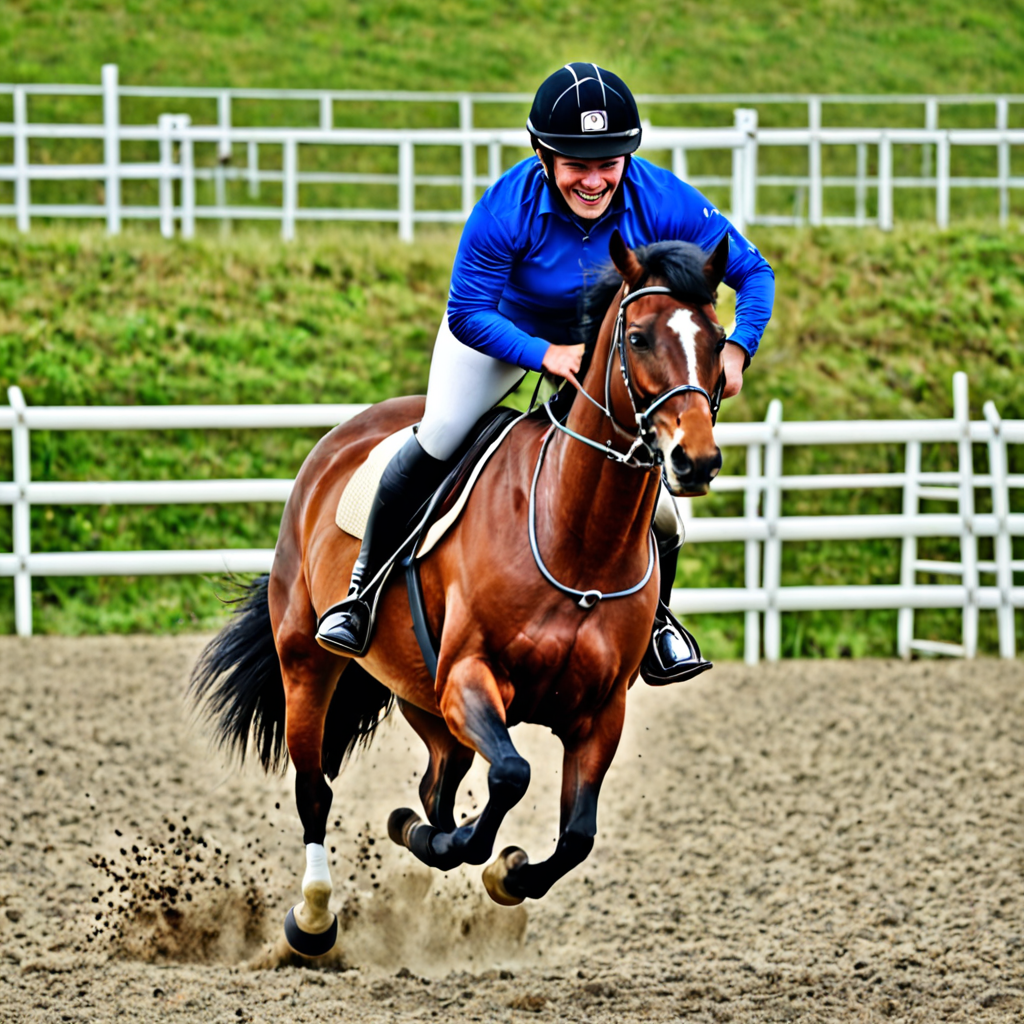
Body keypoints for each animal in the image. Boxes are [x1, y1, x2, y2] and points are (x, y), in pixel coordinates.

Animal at [190, 229, 728, 957]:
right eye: (639, 338)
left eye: (717, 337)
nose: (694, 460)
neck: (575, 537)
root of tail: (338, 441)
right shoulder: (470, 678)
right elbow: (510, 777)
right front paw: (477, 853)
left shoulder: (599, 712)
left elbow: (576, 835)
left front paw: (505, 870)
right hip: (310, 662)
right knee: (315, 790)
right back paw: (313, 917)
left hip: (422, 696)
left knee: (434, 782)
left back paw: (416, 833)